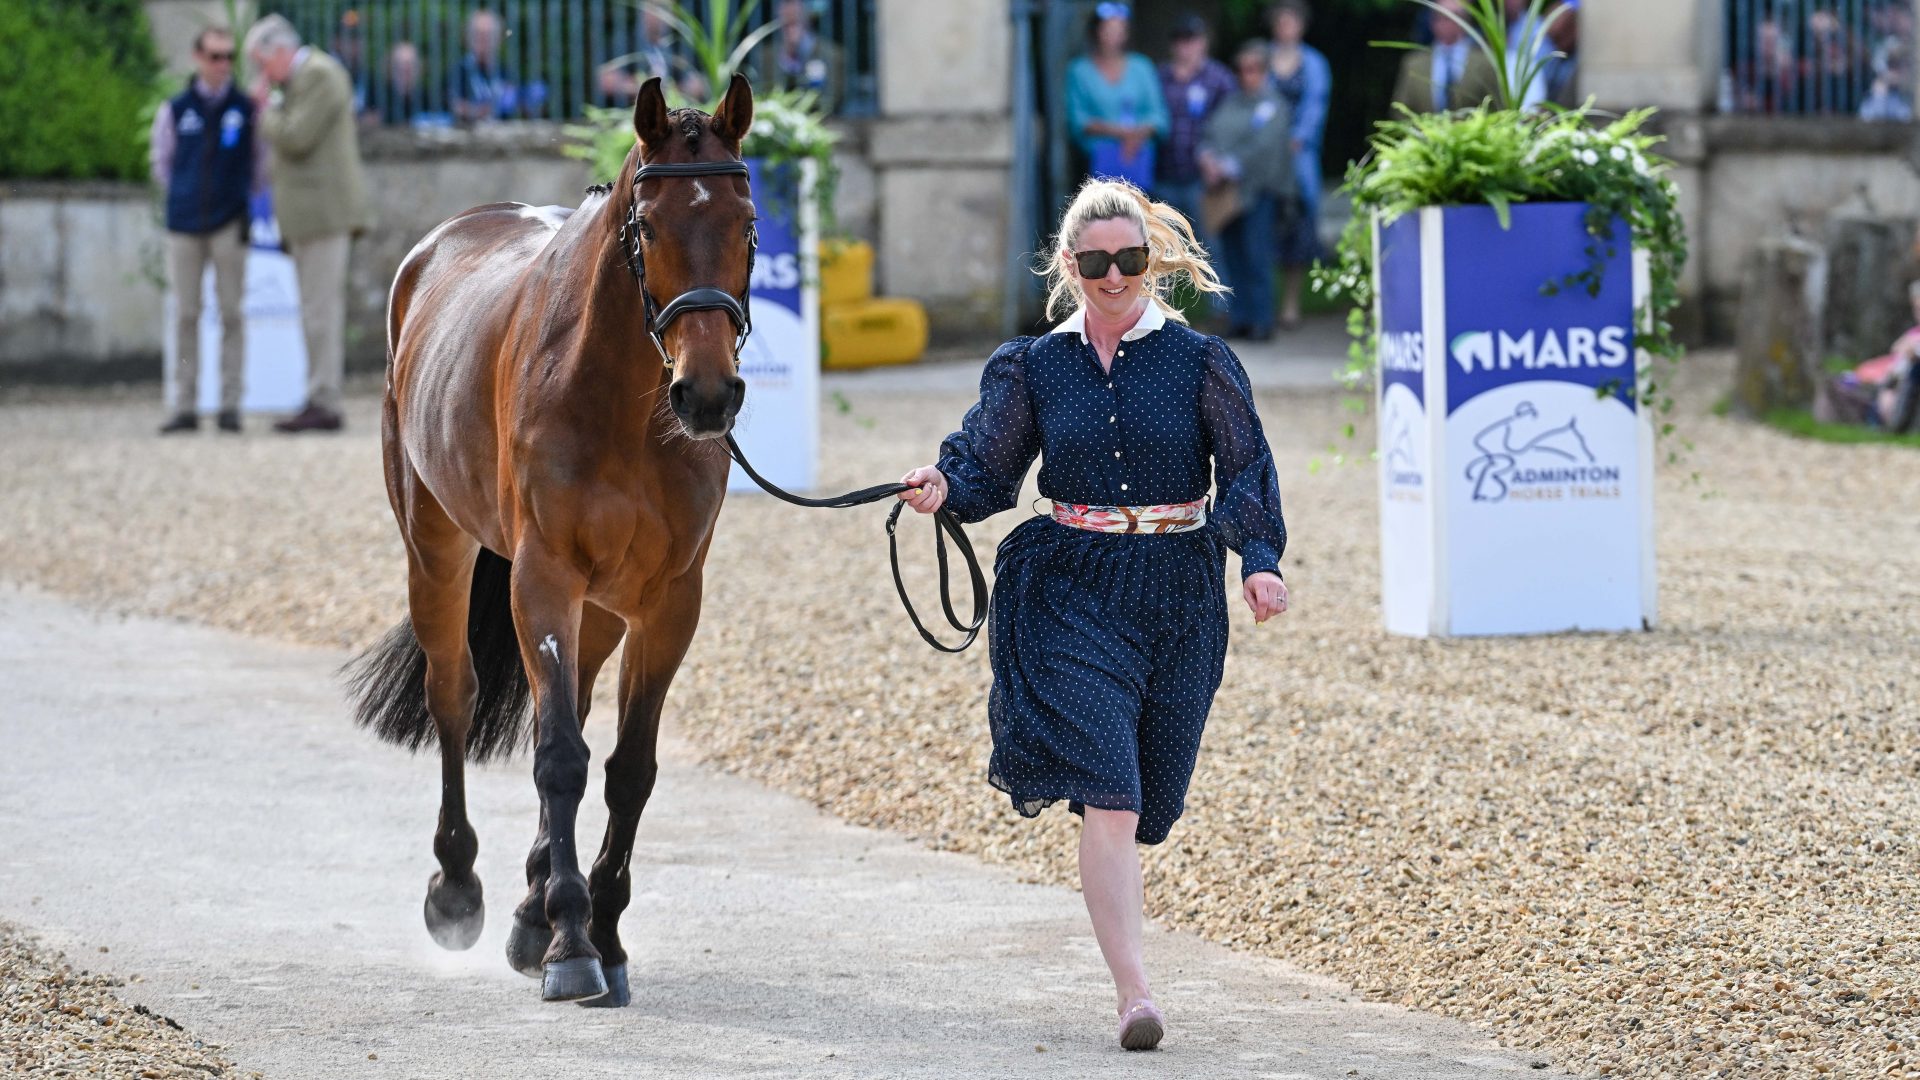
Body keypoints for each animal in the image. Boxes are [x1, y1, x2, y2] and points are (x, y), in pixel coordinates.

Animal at [345, 75, 758, 1008]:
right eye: (650, 227)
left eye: (750, 222)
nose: (708, 395)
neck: (620, 398)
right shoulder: (542, 578)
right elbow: (560, 755)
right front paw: (572, 941)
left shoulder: (669, 601)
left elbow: (627, 767)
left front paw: (600, 930)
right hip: (437, 550)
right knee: (455, 696)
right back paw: (461, 890)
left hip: (599, 607)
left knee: (566, 702)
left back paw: (531, 908)